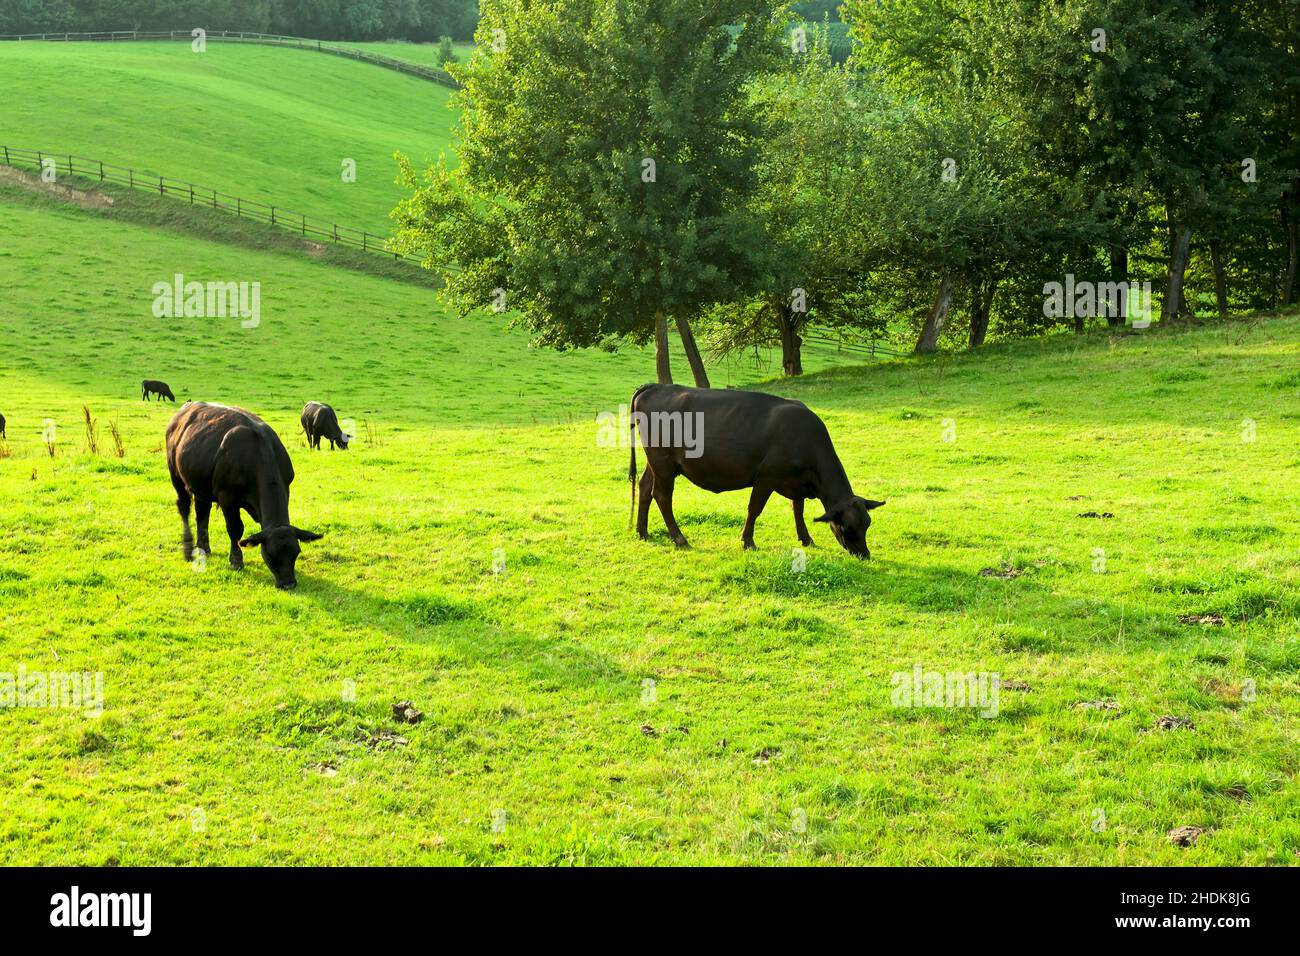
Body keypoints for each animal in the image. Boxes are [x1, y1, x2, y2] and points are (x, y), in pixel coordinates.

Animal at [165, 402, 322, 589]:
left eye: (296, 553)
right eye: (270, 555)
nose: (288, 584)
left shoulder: (287, 487)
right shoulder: (227, 497)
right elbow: (235, 529)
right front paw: (236, 561)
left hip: (201, 486)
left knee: (202, 514)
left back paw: (203, 547)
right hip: (176, 476)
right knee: (184, 509)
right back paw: (188, 550)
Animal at [628, 384, 884, 557]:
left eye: (867, 524)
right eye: (846, 527)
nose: (864, 555)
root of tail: (657, 386)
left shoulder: (797, 482)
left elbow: (797, 509)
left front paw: (806, 538)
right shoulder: (766, 477)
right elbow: (755, 509)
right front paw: (748, 541)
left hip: (657, 463)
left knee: (644, 488)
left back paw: (642, 532)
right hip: (663, 462)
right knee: (662, 496)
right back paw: (679, 538)